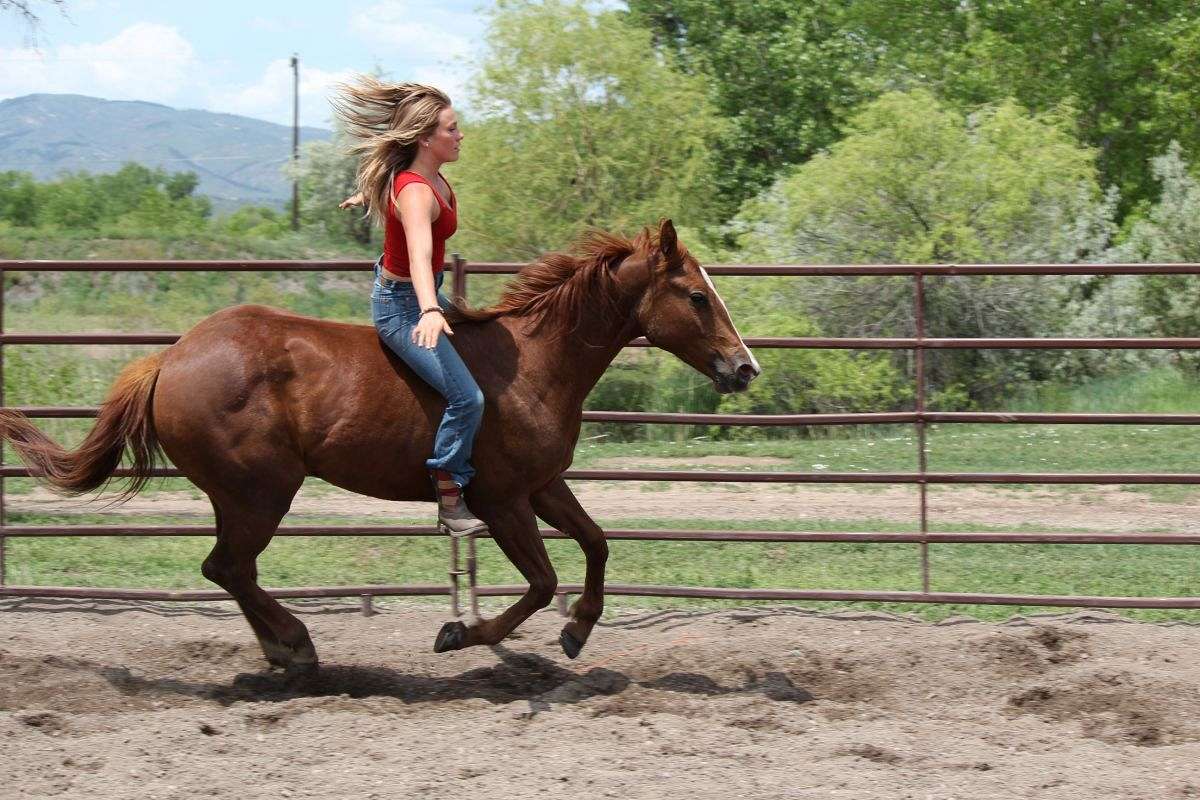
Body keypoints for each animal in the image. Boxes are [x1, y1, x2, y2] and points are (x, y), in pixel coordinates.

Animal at [0, 219, 760, 673]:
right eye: (697, 296)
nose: (745, 367)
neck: (534, 363)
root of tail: (170, 358)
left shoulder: (544, 484)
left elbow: (598, 544)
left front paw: (578, 631)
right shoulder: (501, 499)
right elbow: (542, 581)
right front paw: (460, 634)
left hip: (239, 495)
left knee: (229, 569)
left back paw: (287, 650)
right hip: (261, 491)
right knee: (229, 567)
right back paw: (297, 645)